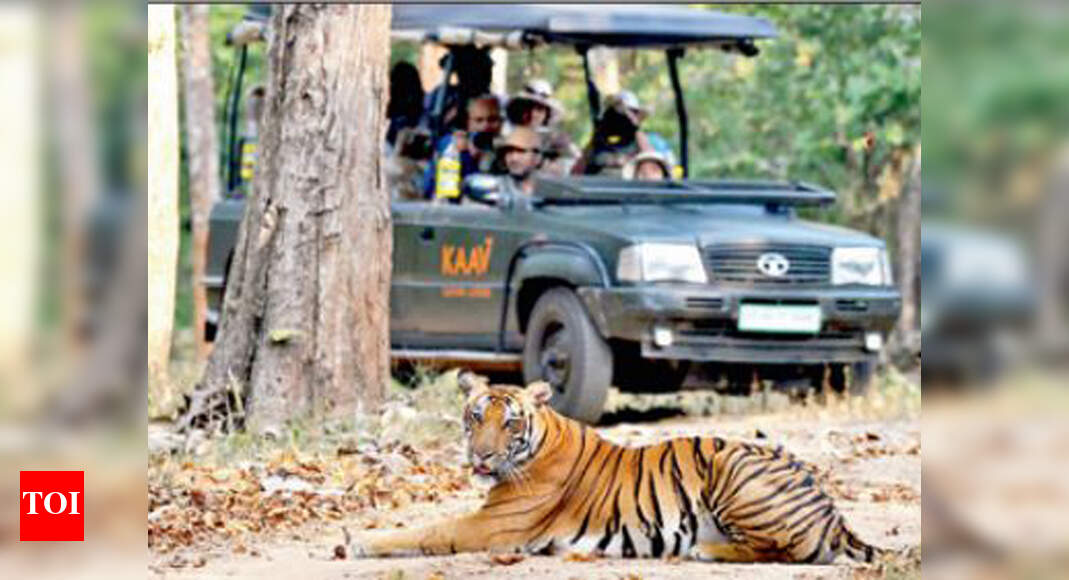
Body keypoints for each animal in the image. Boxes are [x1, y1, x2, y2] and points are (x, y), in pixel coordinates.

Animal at [347, 373, 888, 564]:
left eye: (509, 422)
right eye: (476, 417)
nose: (480, 457)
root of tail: (833, 511)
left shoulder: (493, 525)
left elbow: (428, 529)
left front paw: (361, 541)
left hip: (734, 465)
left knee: (787, 552)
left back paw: (706, 551)